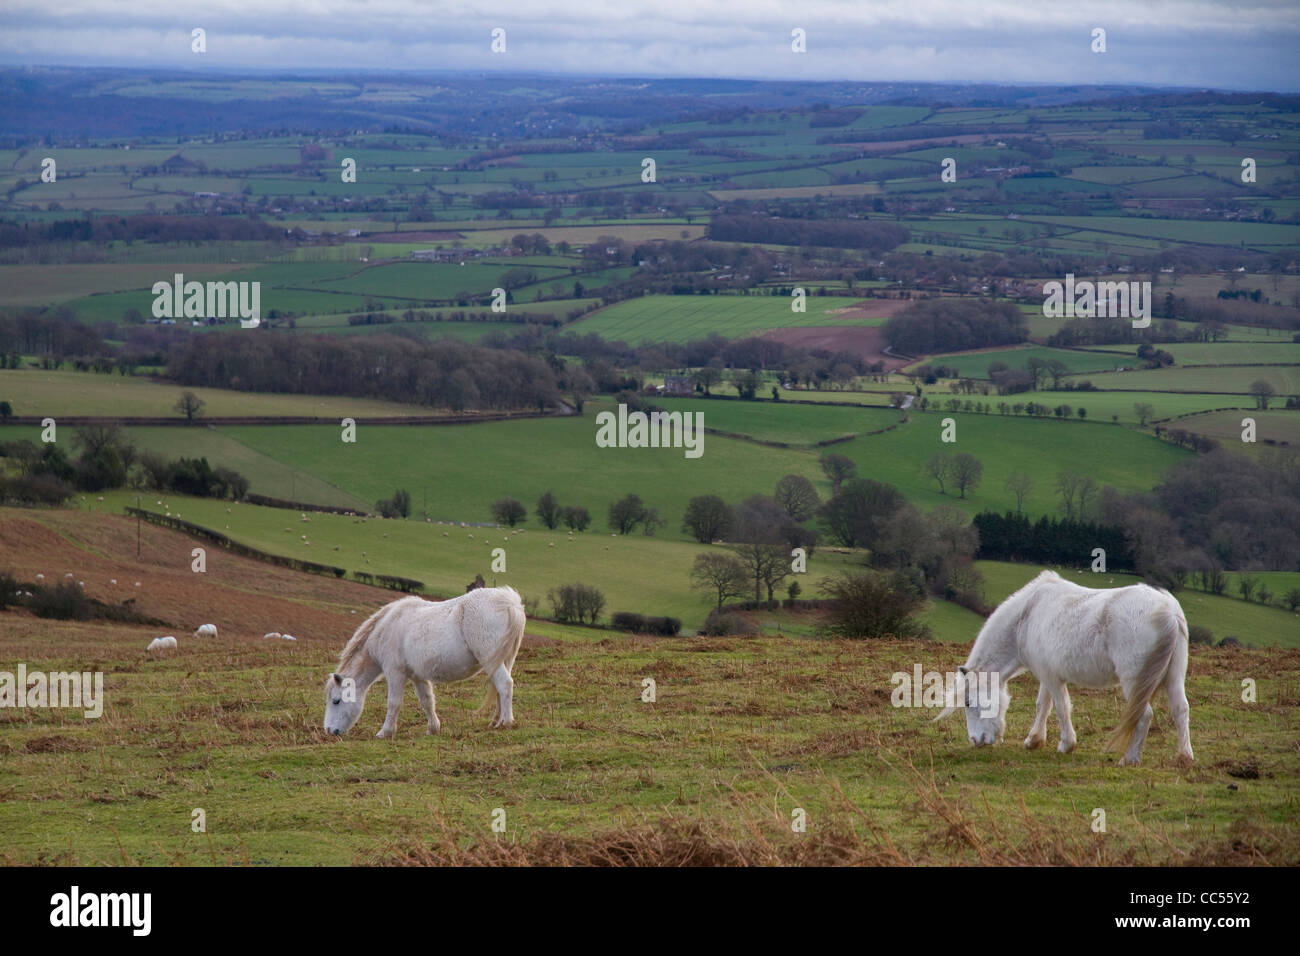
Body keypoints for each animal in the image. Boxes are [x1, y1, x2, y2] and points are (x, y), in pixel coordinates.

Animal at [323, 586, 525, 738]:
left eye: (336, 701)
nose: (329, 731)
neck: (386, 628)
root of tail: (510, 602)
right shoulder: (417, 676)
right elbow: (427, 701)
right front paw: (433, 728)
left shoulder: (395, 673)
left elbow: (394, 702)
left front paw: (385, 732)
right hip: (503, 660)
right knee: (498, 688)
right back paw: (495, 721)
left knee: (505, 684)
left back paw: (505, 722)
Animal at [934, 570, 1193, 766]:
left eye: (968, 702)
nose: (976, 740)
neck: (1027, 616)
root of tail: (1168, 611)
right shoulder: (1046, 674)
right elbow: (1043, 705)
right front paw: (1034, 740)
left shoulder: (1052, 678)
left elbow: (1060, 707)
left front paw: (1067, 744)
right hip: (1174, 677)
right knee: (1180, 709)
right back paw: (1184, 757)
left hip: (1135, 681)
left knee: (1144, 715)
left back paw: (1130, 759)